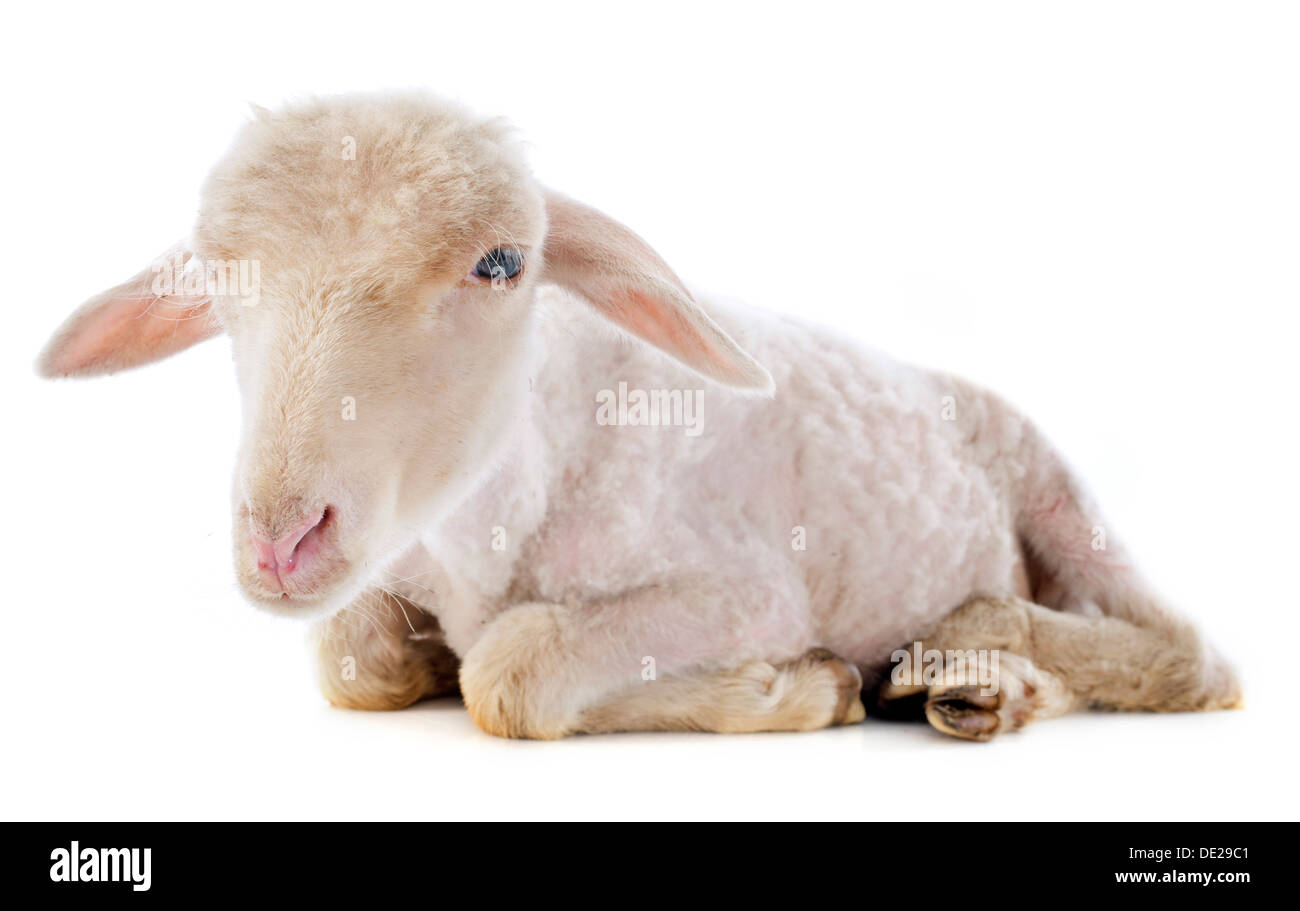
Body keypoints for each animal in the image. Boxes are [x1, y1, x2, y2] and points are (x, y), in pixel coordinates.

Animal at [37, 92, 1241, 740]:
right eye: (215, 277)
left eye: (502, 263)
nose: (282, 539)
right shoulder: (384, 576)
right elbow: (355, 659)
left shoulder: (743, 586)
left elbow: (506, 673)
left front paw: (791, 686)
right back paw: (975, 693)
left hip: (1058, 488)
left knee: (1193, 656)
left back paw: (970, 641)